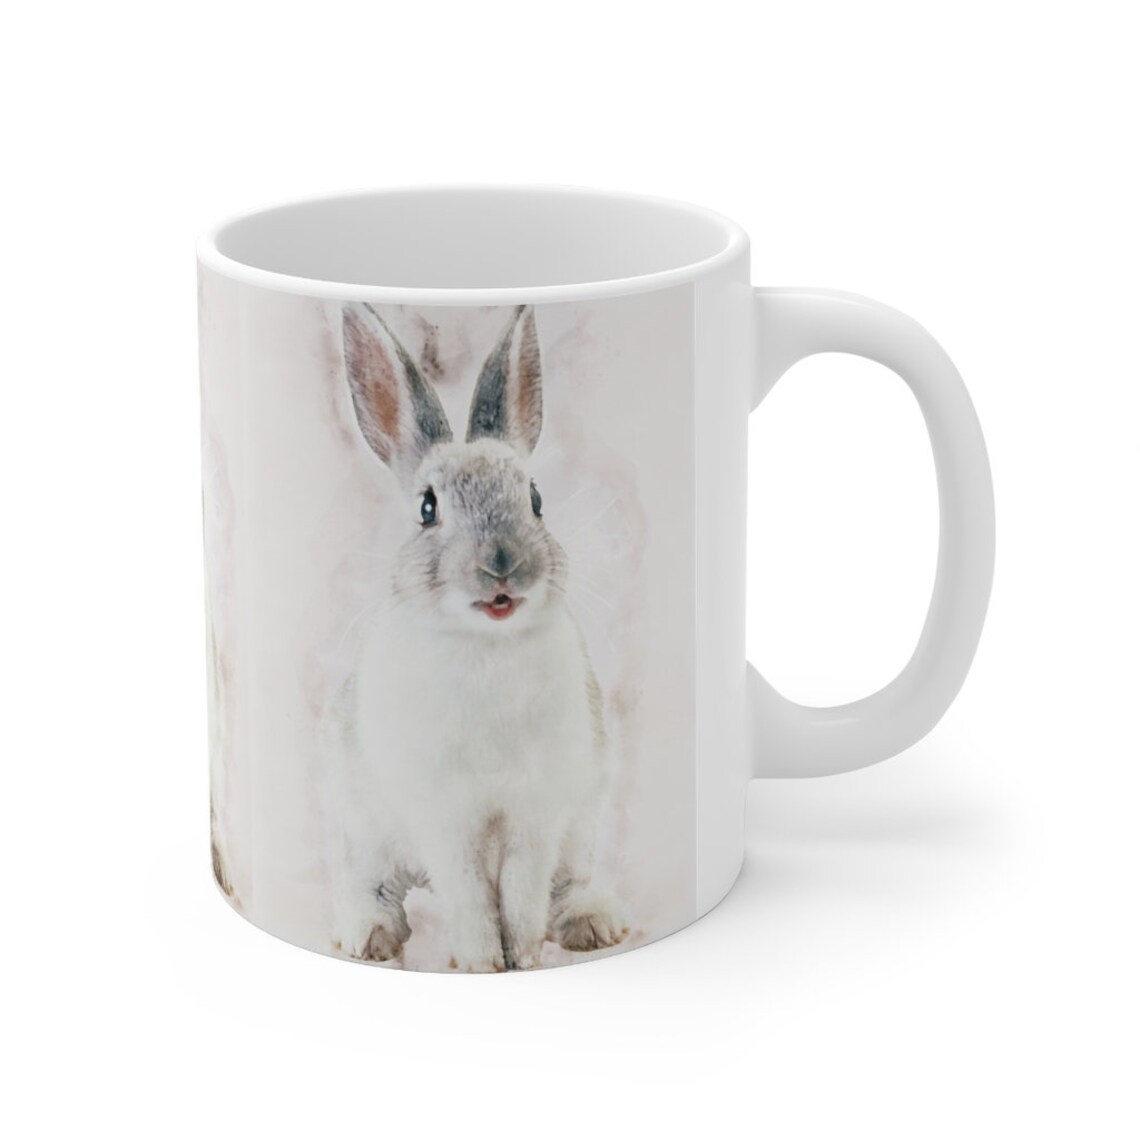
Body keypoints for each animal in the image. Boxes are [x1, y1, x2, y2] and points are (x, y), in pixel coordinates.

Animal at [323, 302, 628, 971]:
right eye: (427, 508)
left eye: (535, 498)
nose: (502, 562)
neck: (487, 645)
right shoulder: (445, 817)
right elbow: (470, 894)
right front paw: (484, 962)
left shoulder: (537, 812)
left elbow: (519, 891)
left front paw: (523, 959)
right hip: (365, 828)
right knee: (375, 887)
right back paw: (367, 937)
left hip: (581, 827)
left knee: (567, 885)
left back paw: (593, 925)